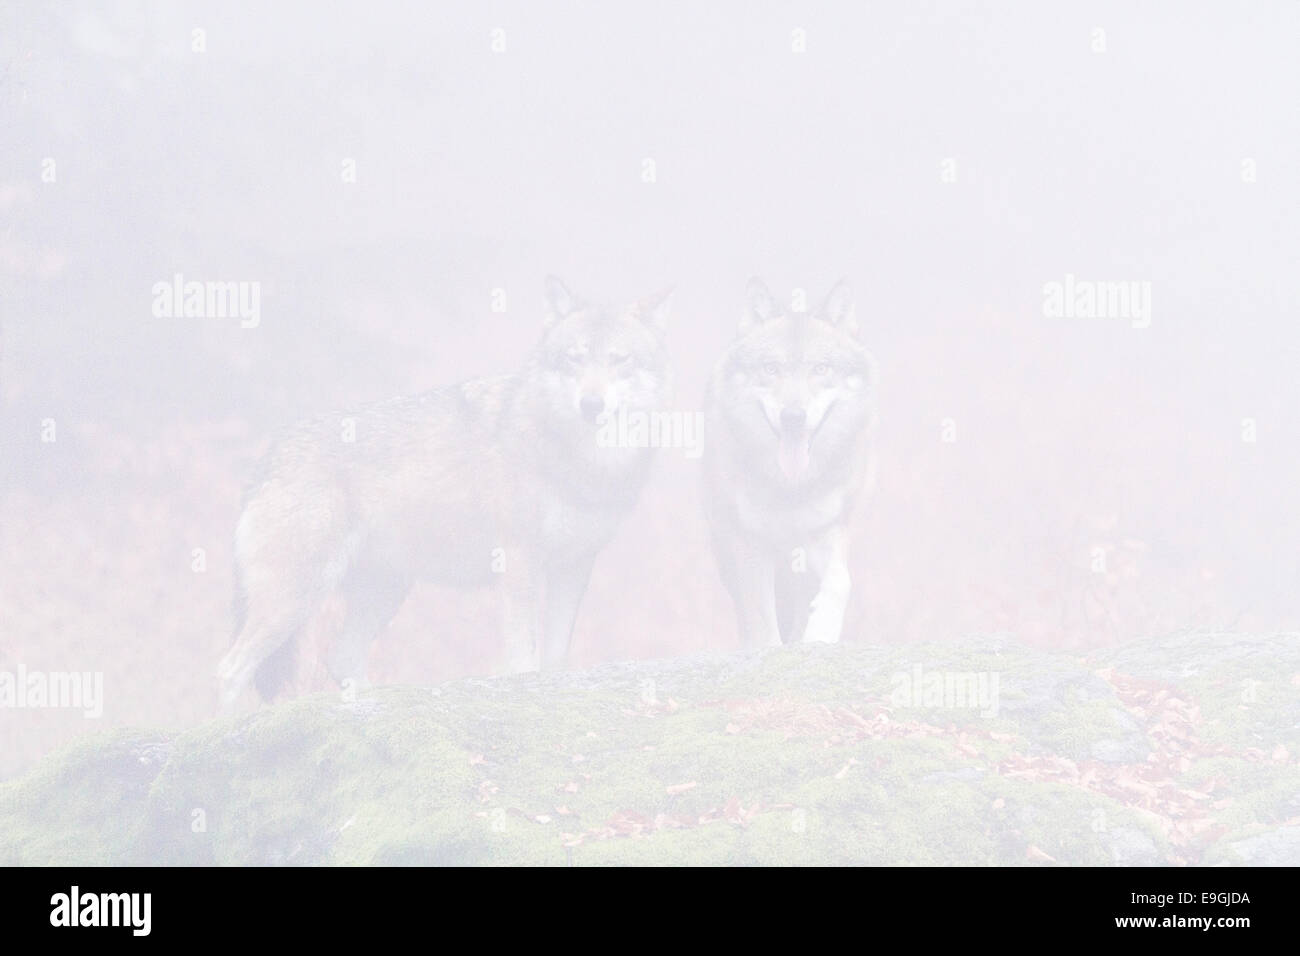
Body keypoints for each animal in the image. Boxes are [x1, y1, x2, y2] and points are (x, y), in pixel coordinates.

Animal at [217, 277, 672, 705]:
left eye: (620, 360)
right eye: (574, 359)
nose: (591, 404)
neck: (582, 461)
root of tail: (271, 453)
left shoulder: (574, 565)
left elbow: (557, 654)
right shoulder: (520, 560)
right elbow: (523, 655)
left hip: (385, 590)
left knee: (340, 656)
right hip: (295, 599)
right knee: (230, 669)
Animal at [704, 278, 877, 647]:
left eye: (821, 369)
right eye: (771, 369)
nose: (794, 417)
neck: (790, 488)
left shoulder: (826, 532)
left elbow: (841, 580)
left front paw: (822, 630)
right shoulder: (749, 544)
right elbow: (761, 622)